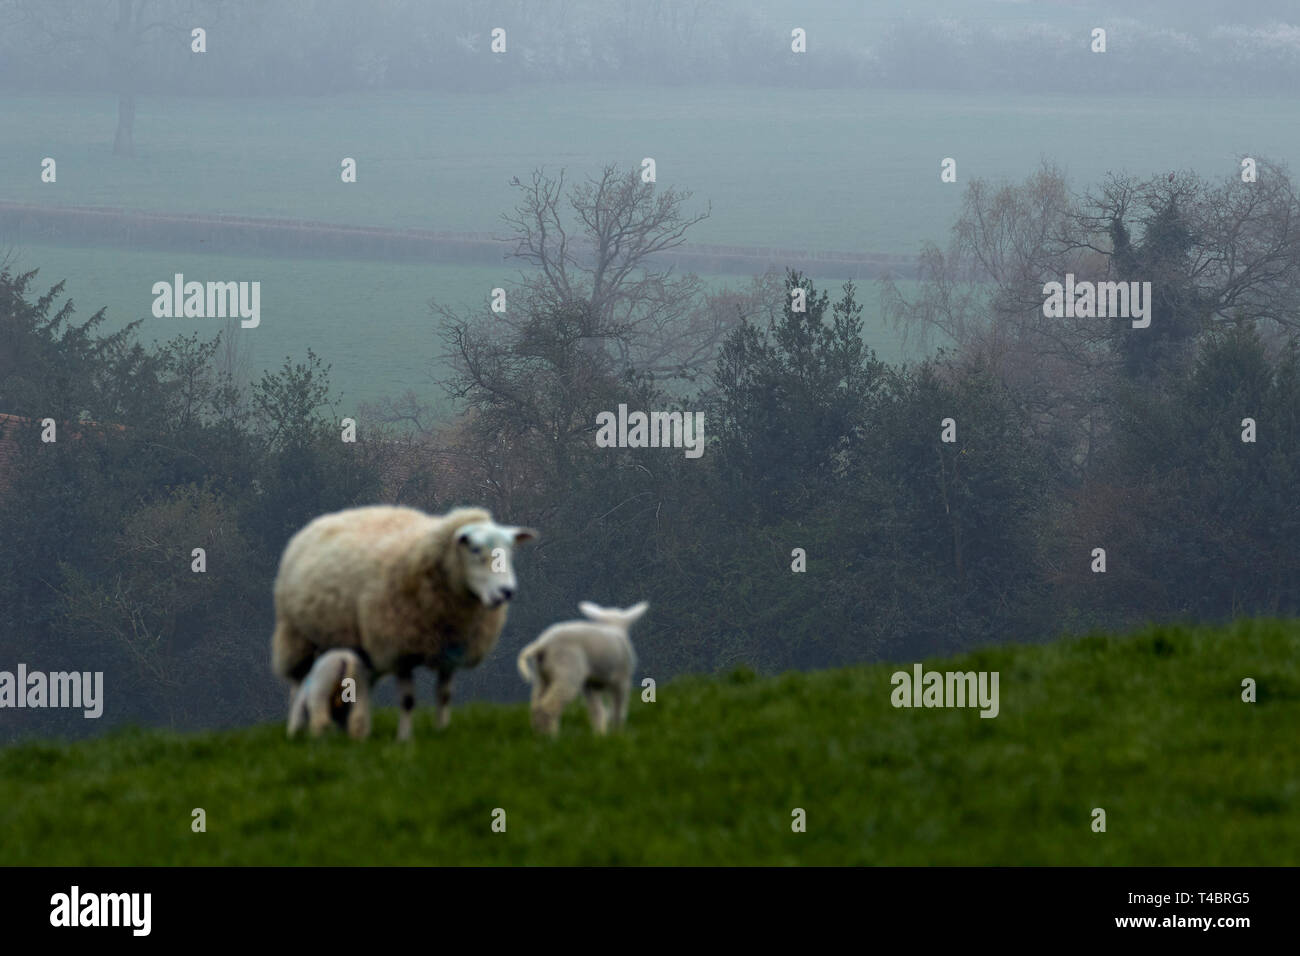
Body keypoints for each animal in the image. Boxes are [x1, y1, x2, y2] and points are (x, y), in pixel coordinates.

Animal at [271, 505, 537, 740]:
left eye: (510, 549)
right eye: (474, 549)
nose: (506, 592)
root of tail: (321, 520)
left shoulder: (451, 650)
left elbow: (444, 695)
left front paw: (442, 732)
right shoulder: (398, 648)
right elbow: (408, 701)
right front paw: (405, 739)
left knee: (358, 683)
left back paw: (357, 729)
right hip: (297, 636)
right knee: (298, 684)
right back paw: (296, 729)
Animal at [516, 601, 647, 736]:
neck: (613, 625)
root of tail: (543, 645)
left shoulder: (591, 684)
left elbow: (597, 710)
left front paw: (600, 734)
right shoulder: (621, 680)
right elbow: (618, 709)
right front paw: (617, 733)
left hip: (542, 676)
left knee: (536, 704)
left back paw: (539, 734)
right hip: (567, 671)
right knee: (548, 705)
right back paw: (553, 736)